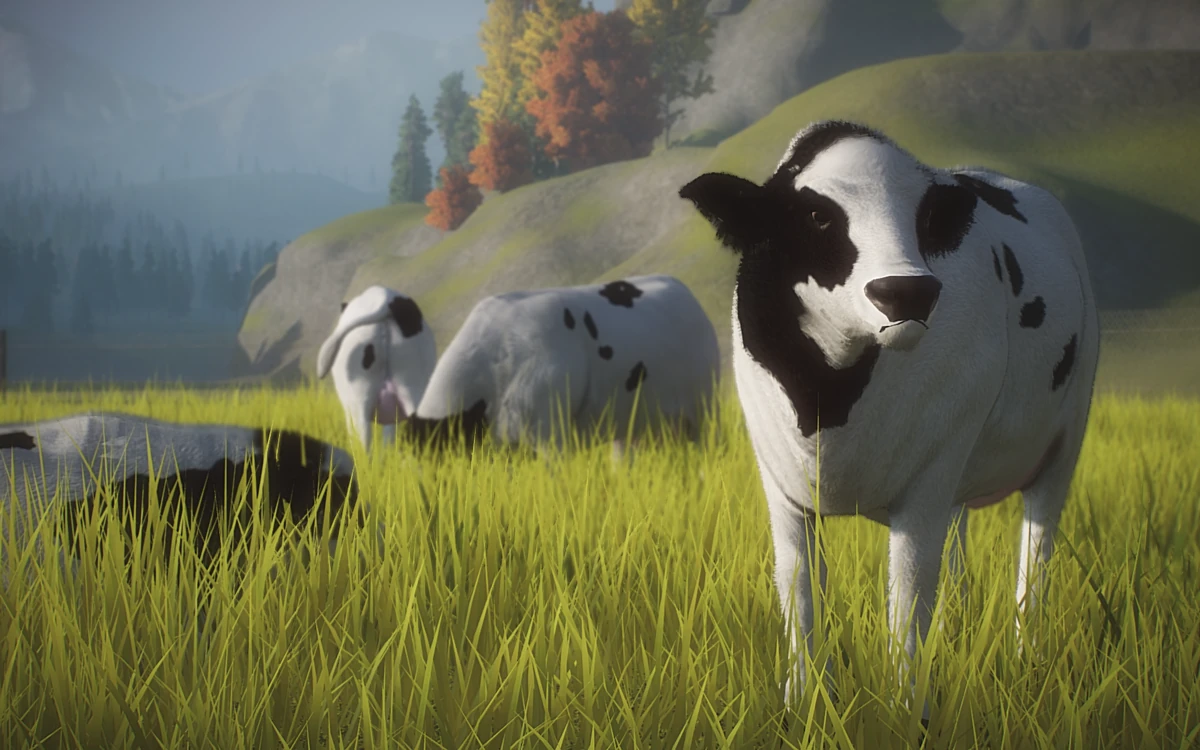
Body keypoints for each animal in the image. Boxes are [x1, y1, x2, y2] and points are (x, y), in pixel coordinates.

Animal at [679, 119, 1100, 719]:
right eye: (817, 214)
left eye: (923, 217)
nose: (908, 291)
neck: (827, 400)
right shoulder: (782, 485)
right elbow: (801, 594)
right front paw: (804, 706)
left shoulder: (924, 481)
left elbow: (906, 604)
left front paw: (908, 714)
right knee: (957, 550)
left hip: (1063, 440)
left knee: (1034, 553)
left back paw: (1028, 659)